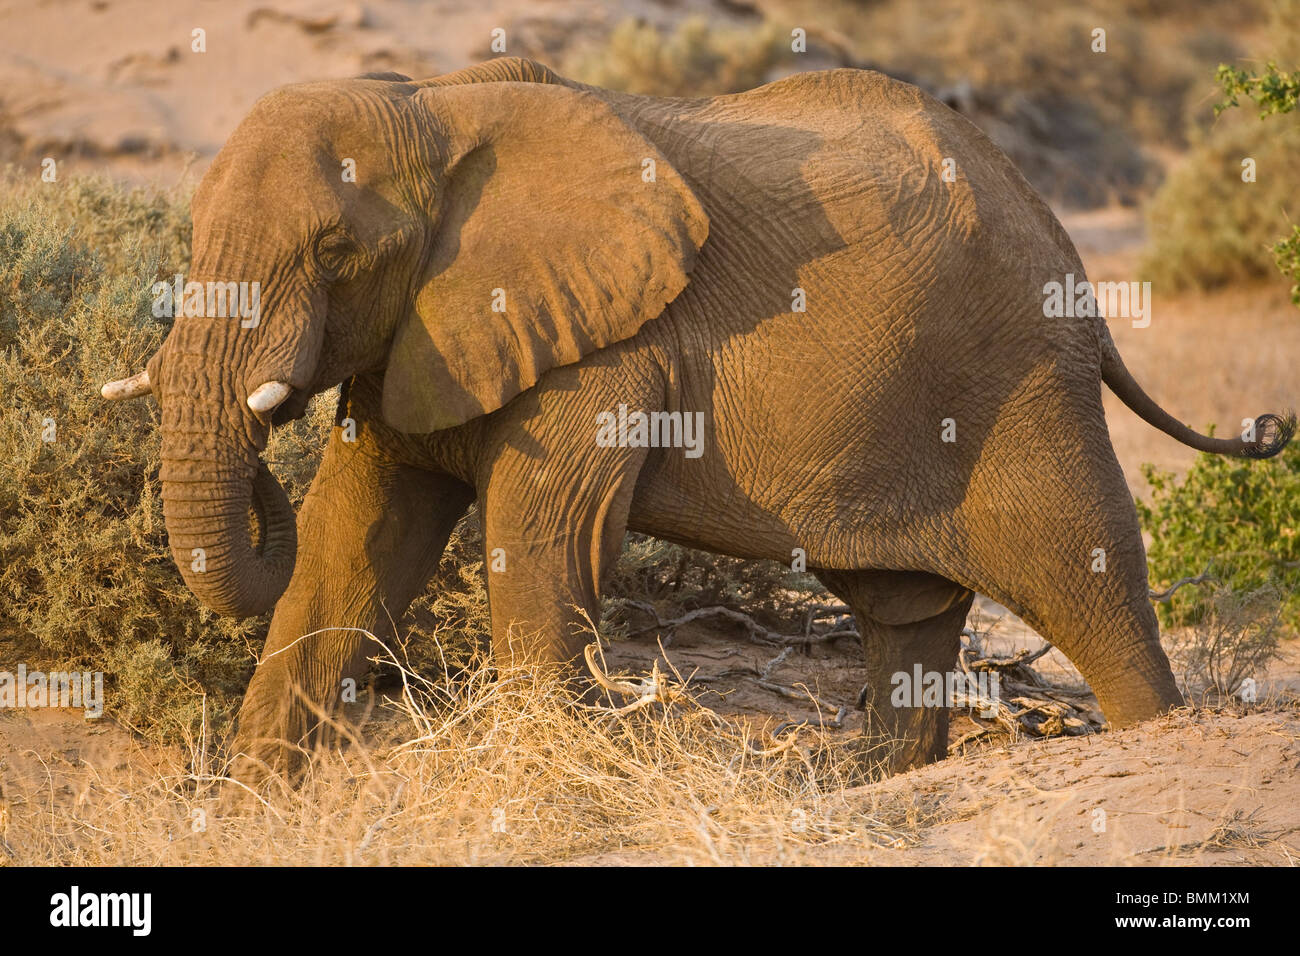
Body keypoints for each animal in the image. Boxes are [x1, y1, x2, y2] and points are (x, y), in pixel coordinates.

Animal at [102, 57, 1293, 779]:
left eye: (337, 252)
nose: (265, 416)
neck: (434, 104)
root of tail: (1077, 267)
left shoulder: (607, 348)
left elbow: (542, 543)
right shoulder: (426, 332)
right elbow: (350, 542)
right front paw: (259, 804)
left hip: (1024, 384)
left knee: (1090, 586)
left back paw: (1157, 744)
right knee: (907, 611)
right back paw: (877, 784)